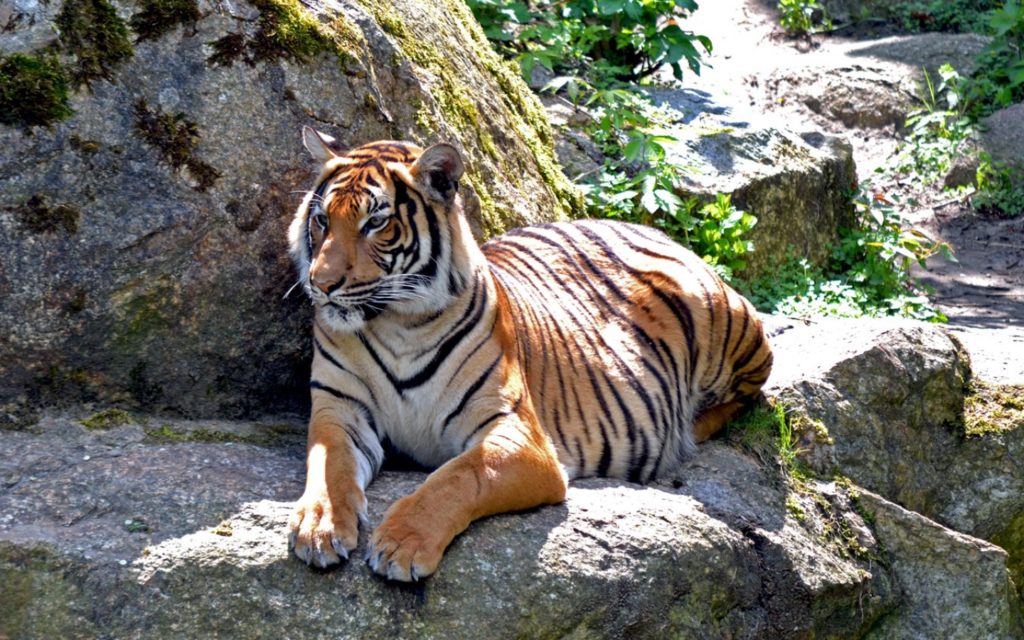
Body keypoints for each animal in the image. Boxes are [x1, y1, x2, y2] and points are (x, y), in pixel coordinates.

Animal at [287, 127, 773, 581]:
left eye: (375, 223)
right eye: (322, 220)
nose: (321, 284)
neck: (399, 323)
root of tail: (647, 227)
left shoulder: (518, 434)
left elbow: (458, 477)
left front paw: (402, 543)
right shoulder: (338, 409)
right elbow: (329, 465)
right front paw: (320, 526)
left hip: (727, 318)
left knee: (751, 391)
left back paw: (688, 429)